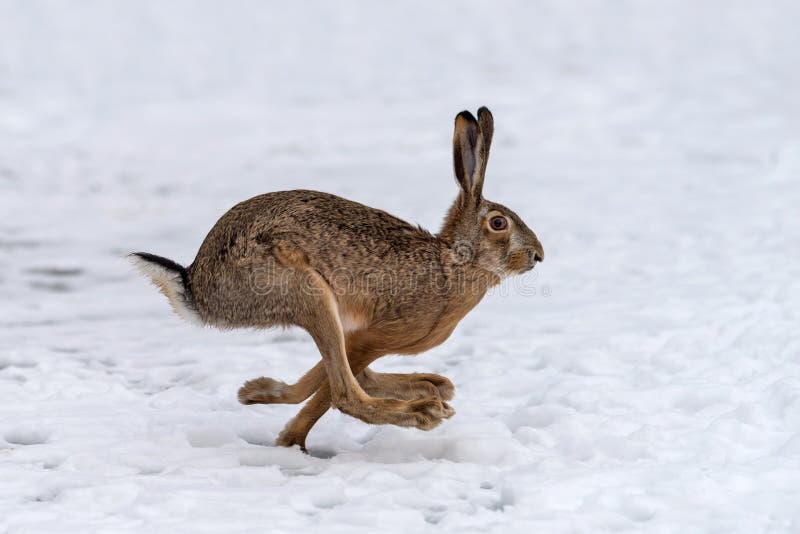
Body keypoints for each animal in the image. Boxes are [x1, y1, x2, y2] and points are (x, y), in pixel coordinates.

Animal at [130, 107, 544, 451]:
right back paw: (422, 409)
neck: (452, 261)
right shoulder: (376, 334)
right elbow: (331, 392)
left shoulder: (360, 335)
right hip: (307, 291)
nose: (538, 256)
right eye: (498, 223)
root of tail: (196, 288)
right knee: (347, 392)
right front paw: (289, 438)